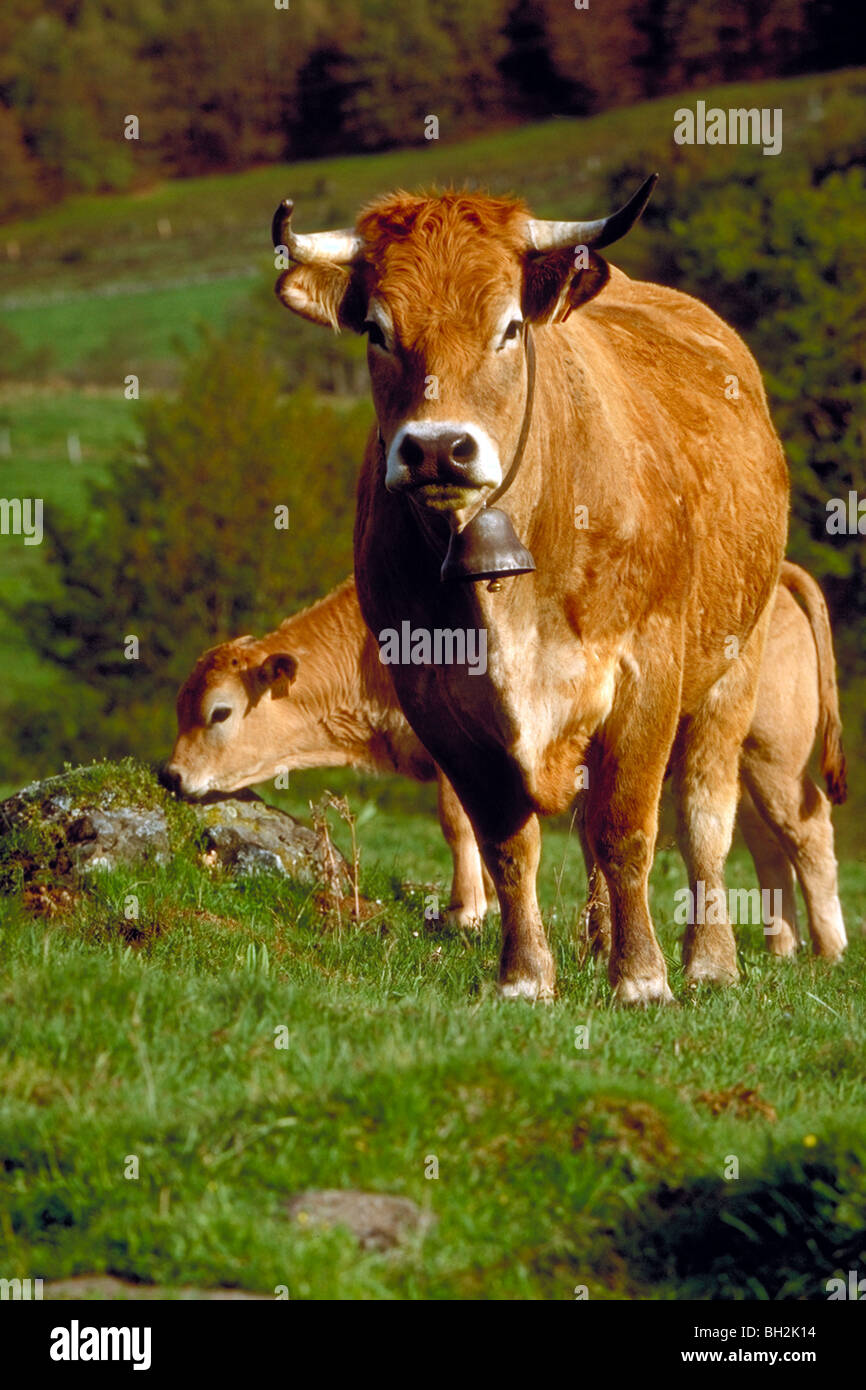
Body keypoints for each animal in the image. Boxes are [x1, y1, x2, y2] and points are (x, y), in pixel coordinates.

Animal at [165, 562, 846, 958]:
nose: (169, 774)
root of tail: (785, 570)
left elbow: (456, 822)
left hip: (771, 751)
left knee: (807, 828)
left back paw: (829, 949)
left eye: (219, 713)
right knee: (763, 843)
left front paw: (467, 911)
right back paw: (780, 946)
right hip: (741, 763)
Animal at [271, 180, 791, 1002]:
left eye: (510, 327)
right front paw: (525, 975)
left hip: (734, 664)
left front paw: (642, 978)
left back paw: (708, 958)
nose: (437, 449)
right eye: (378, 332)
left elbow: (627, 829)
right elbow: (506, 842)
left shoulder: (645, 669)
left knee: (705, 815)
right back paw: (598, 938)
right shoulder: (433, 696)